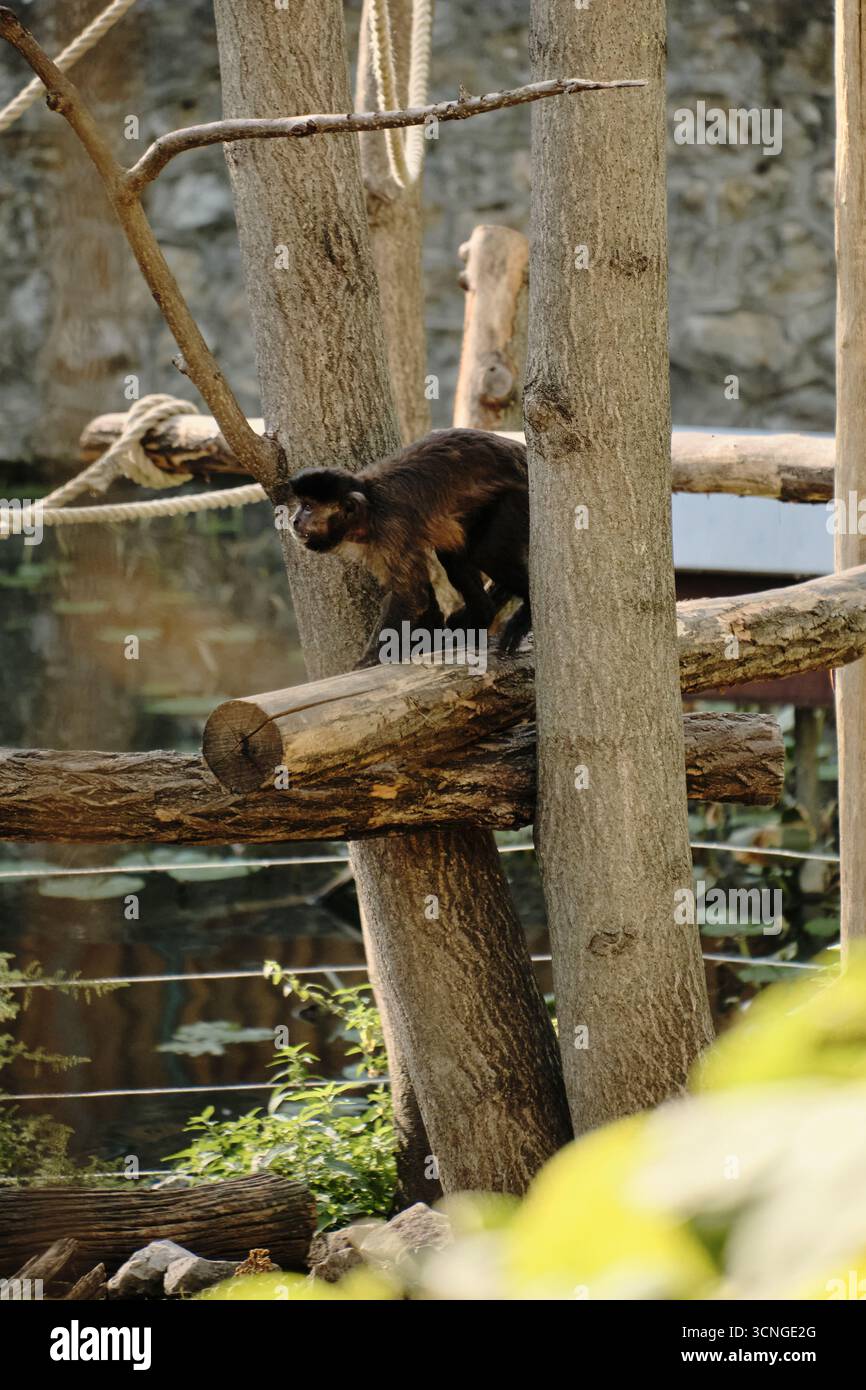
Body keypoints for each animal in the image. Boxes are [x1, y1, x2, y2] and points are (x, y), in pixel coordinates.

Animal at [286, 428, 531, 667]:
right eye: (301, 506)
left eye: (308, 508)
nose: (293, 520)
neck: (370, 509)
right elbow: (420, 595)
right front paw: (425, 641)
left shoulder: (391, 528)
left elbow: (411, 596)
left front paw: (373, 658)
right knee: (453, 554)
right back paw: (480, 618)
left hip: (520, 498)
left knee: (485, 552)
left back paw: (525, 614)